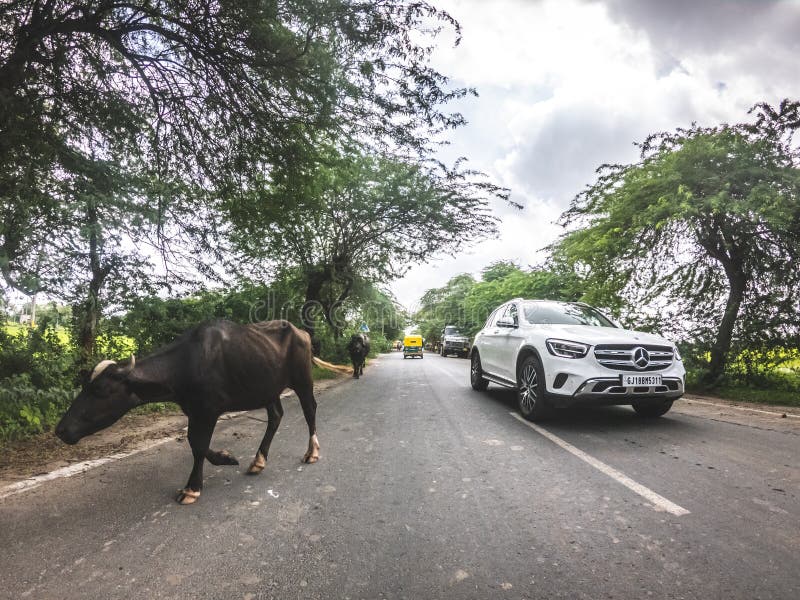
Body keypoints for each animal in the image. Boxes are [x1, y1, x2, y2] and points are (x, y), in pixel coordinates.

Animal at [55, 320, 343, 505]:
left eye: (101, 389)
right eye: (85, 385)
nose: (61, 429)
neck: (187, 364)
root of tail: (301, 332)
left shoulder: (208, 410)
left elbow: (199, 445)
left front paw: (193, 488)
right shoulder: (194, 411)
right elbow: (195, 442)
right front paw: (226, 458)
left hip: (303, 380)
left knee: (310, 410)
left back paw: (312, 452)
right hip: (267, 389)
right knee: (275, 416)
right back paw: (258, 461)